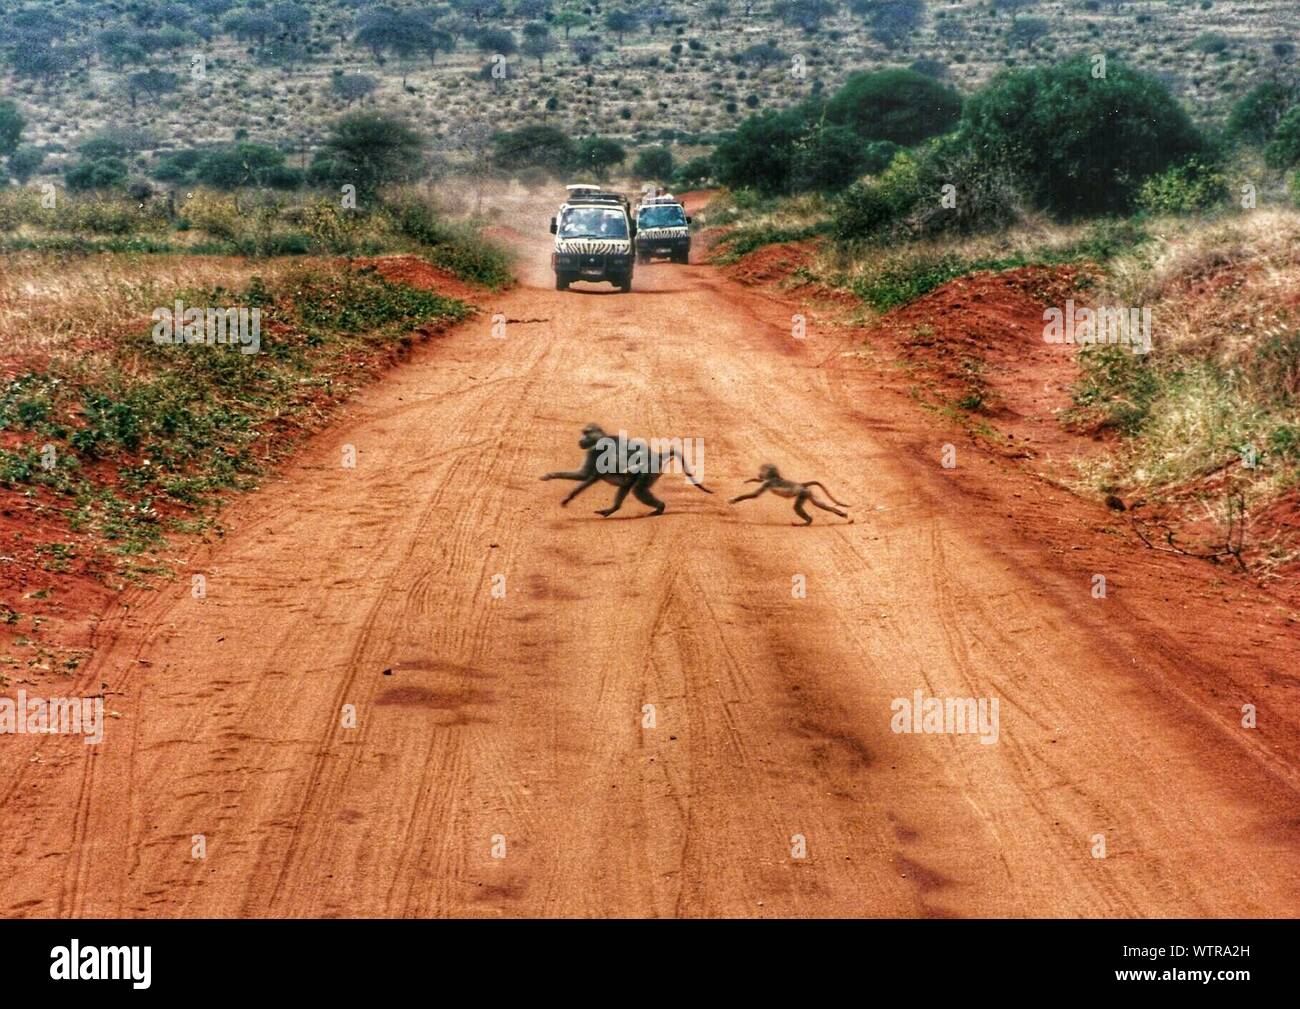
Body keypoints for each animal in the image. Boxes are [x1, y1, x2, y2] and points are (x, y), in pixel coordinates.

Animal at [541, 423, 712, 516]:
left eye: (586, 433)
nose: (580, 440)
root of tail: (657, 455)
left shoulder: (598, 451)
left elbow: (590, 476)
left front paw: (567, 495)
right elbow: (584, 476)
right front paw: (551, 477)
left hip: (651, 470)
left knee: (638, 487)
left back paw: (660, 508)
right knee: (628, 484)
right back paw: (613, 508)